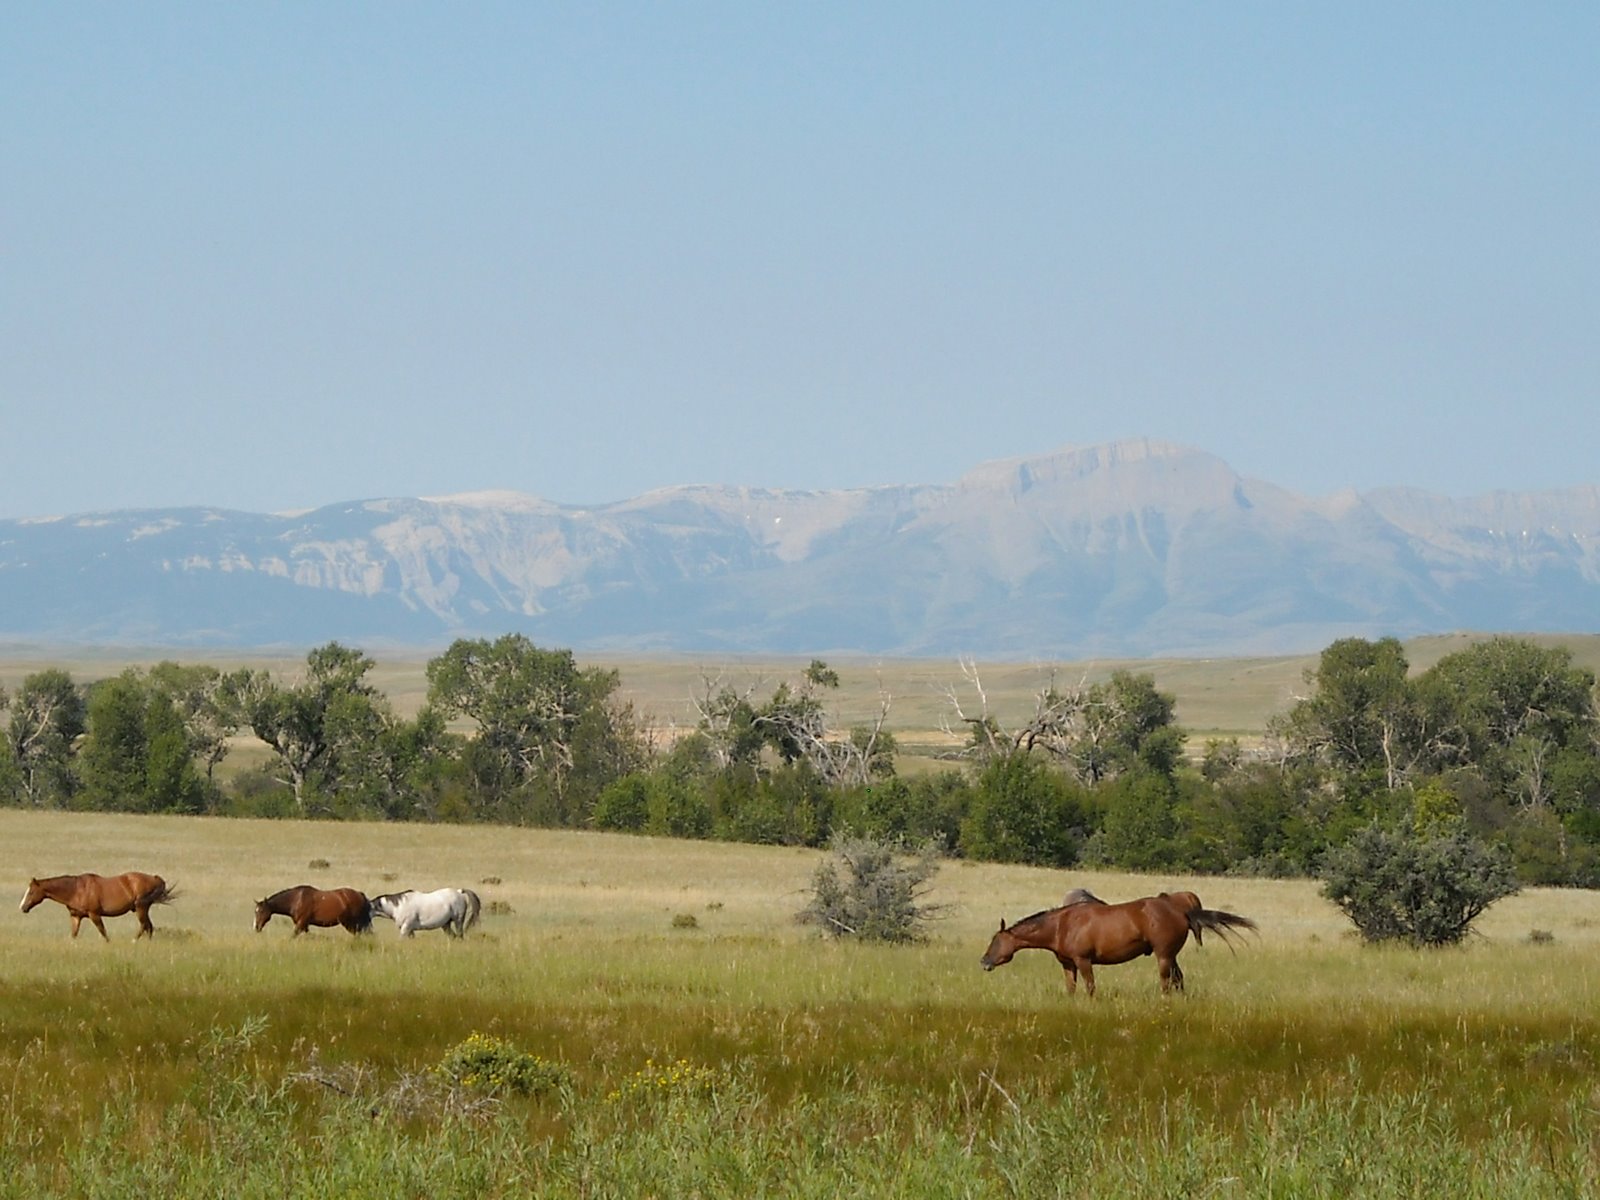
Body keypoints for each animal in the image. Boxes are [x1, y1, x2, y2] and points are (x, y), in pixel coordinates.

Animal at [20, 872, 176, 940]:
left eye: (31, 892)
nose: (22, 907)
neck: (75, 890)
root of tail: (155, 878)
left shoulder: (94, 914)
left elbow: (103, 932)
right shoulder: (76, 916)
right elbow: (74, 934)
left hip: (140, 908)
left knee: (144, 925)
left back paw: (134, 941)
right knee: (149, 926)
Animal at [982, 892, 1257, 995]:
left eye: (995, 941)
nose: (984, 961)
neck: (1062, 925)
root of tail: (1181, 911)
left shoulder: (1083, 961)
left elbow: (1090, 987)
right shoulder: (1068, 964)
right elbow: (1071, 989)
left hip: (1163, 956)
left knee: (1166, 982)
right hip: (1172, 956)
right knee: (1179, 979)